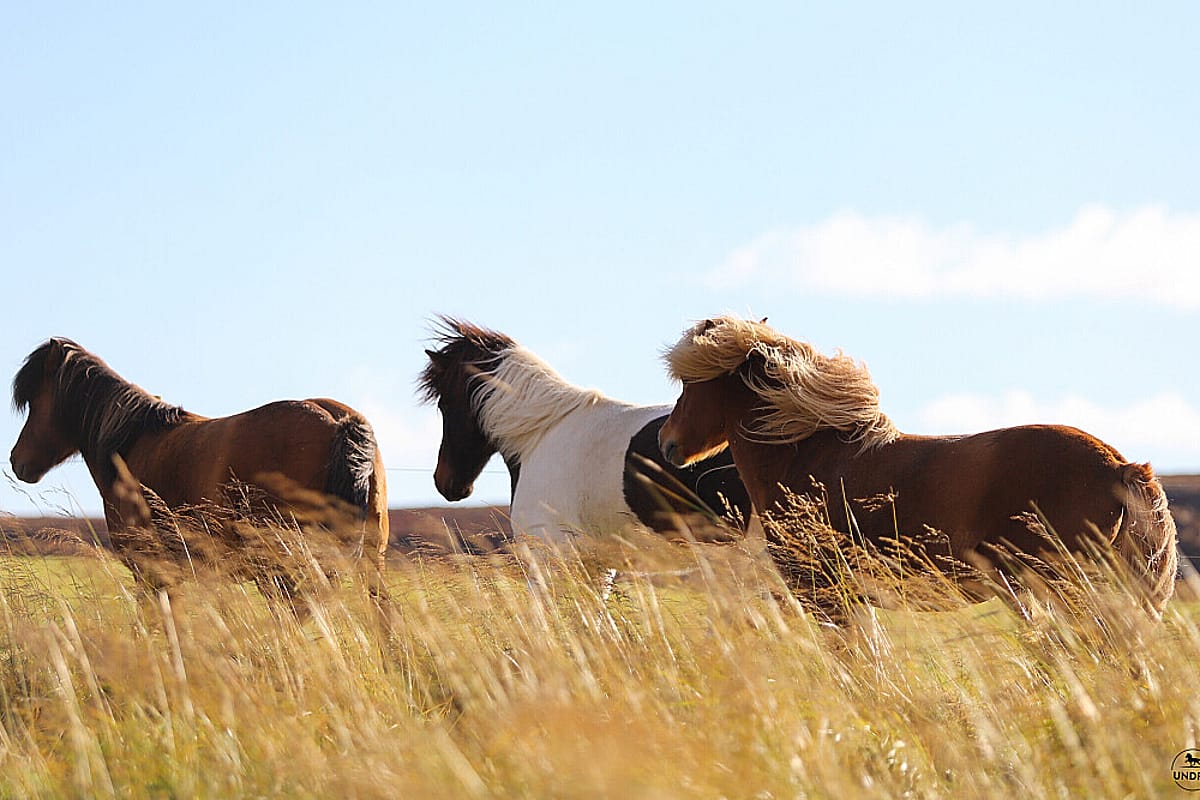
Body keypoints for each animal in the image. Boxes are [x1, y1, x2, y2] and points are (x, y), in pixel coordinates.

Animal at [10, 337, 390, 606]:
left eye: (34, 402)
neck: (132, 440)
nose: (16, 460)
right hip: (370, 562)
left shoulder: (151, 574)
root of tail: (336, 422)